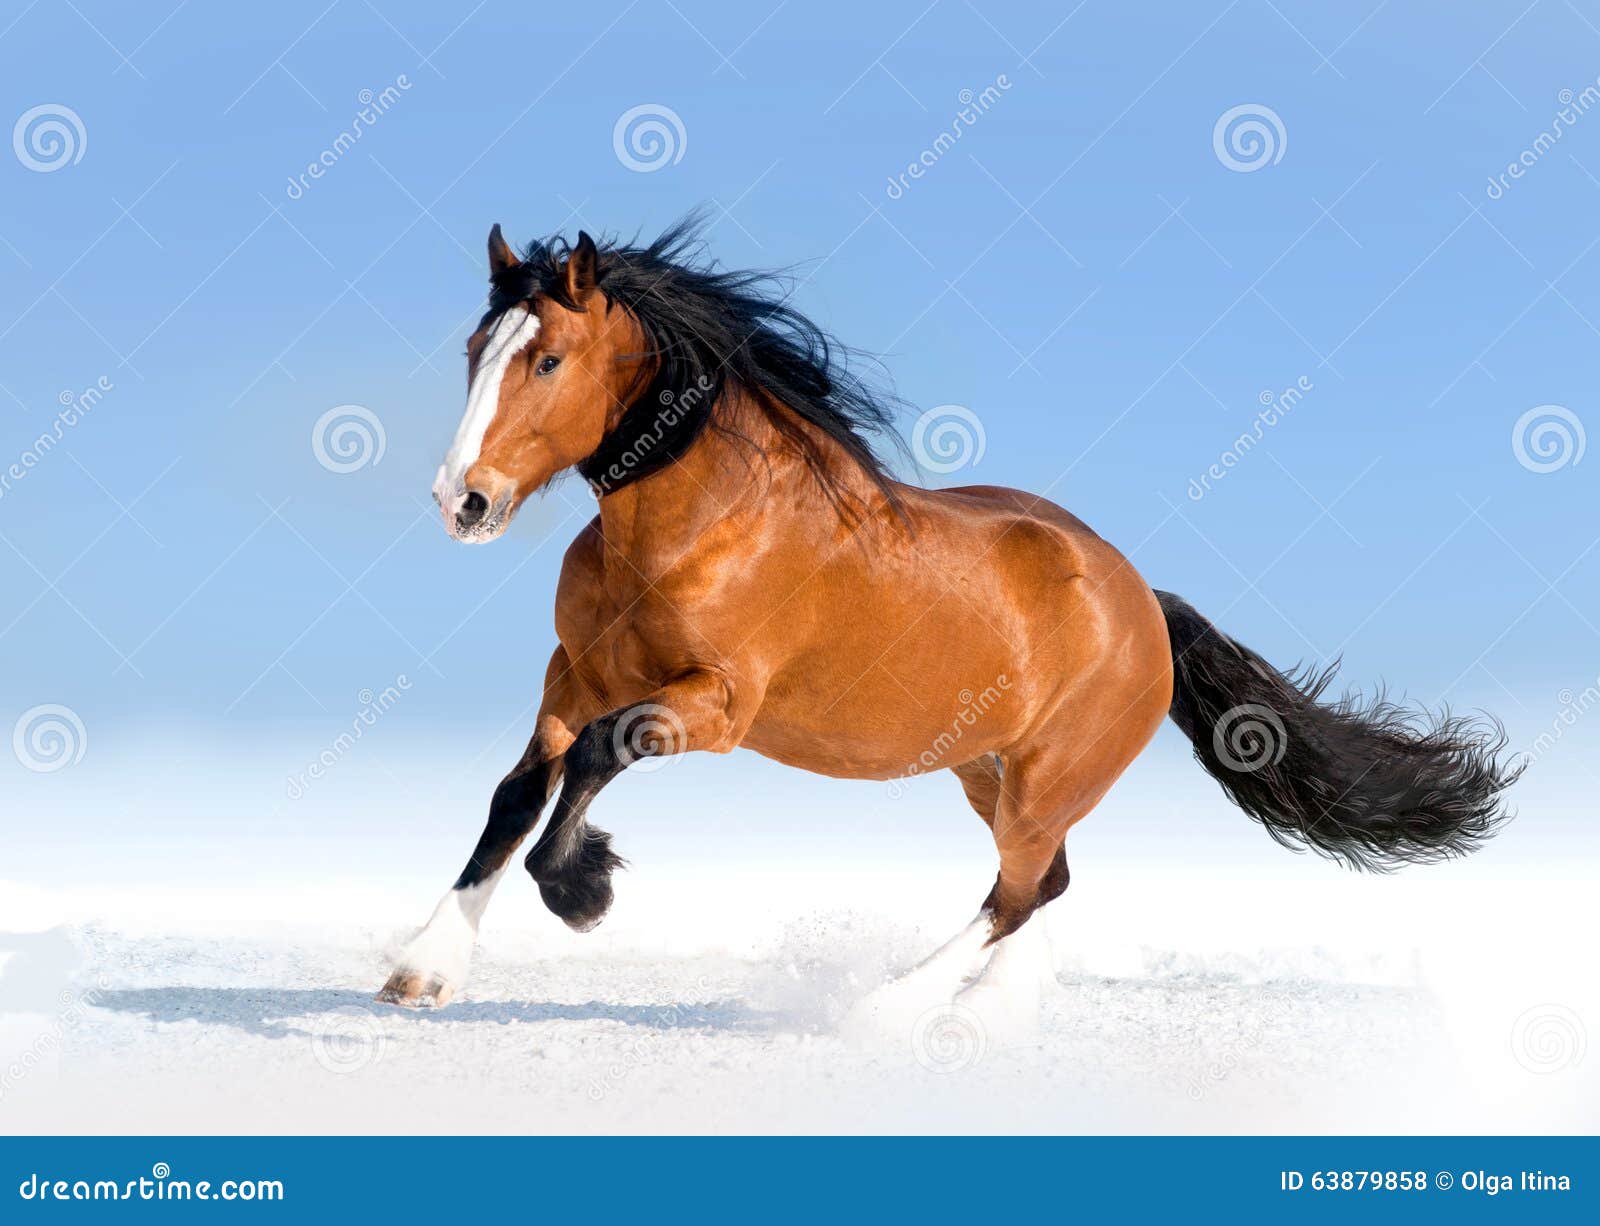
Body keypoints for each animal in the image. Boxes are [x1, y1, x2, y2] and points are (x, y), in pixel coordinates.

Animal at [377, 218, 1518, 1032]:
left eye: (550, 360)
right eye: (478, 347)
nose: (461, 500)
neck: (700, 525)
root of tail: (1143, 601)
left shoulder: (716, 703)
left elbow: (593, 762)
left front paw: (585, 888)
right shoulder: (573, 674)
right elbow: (517, 794)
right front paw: (422, 968)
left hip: (1048, 776)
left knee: (1016, 889)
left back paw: (890, 1006)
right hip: (985, 767)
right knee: (1045, 881)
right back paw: (986, 1006)